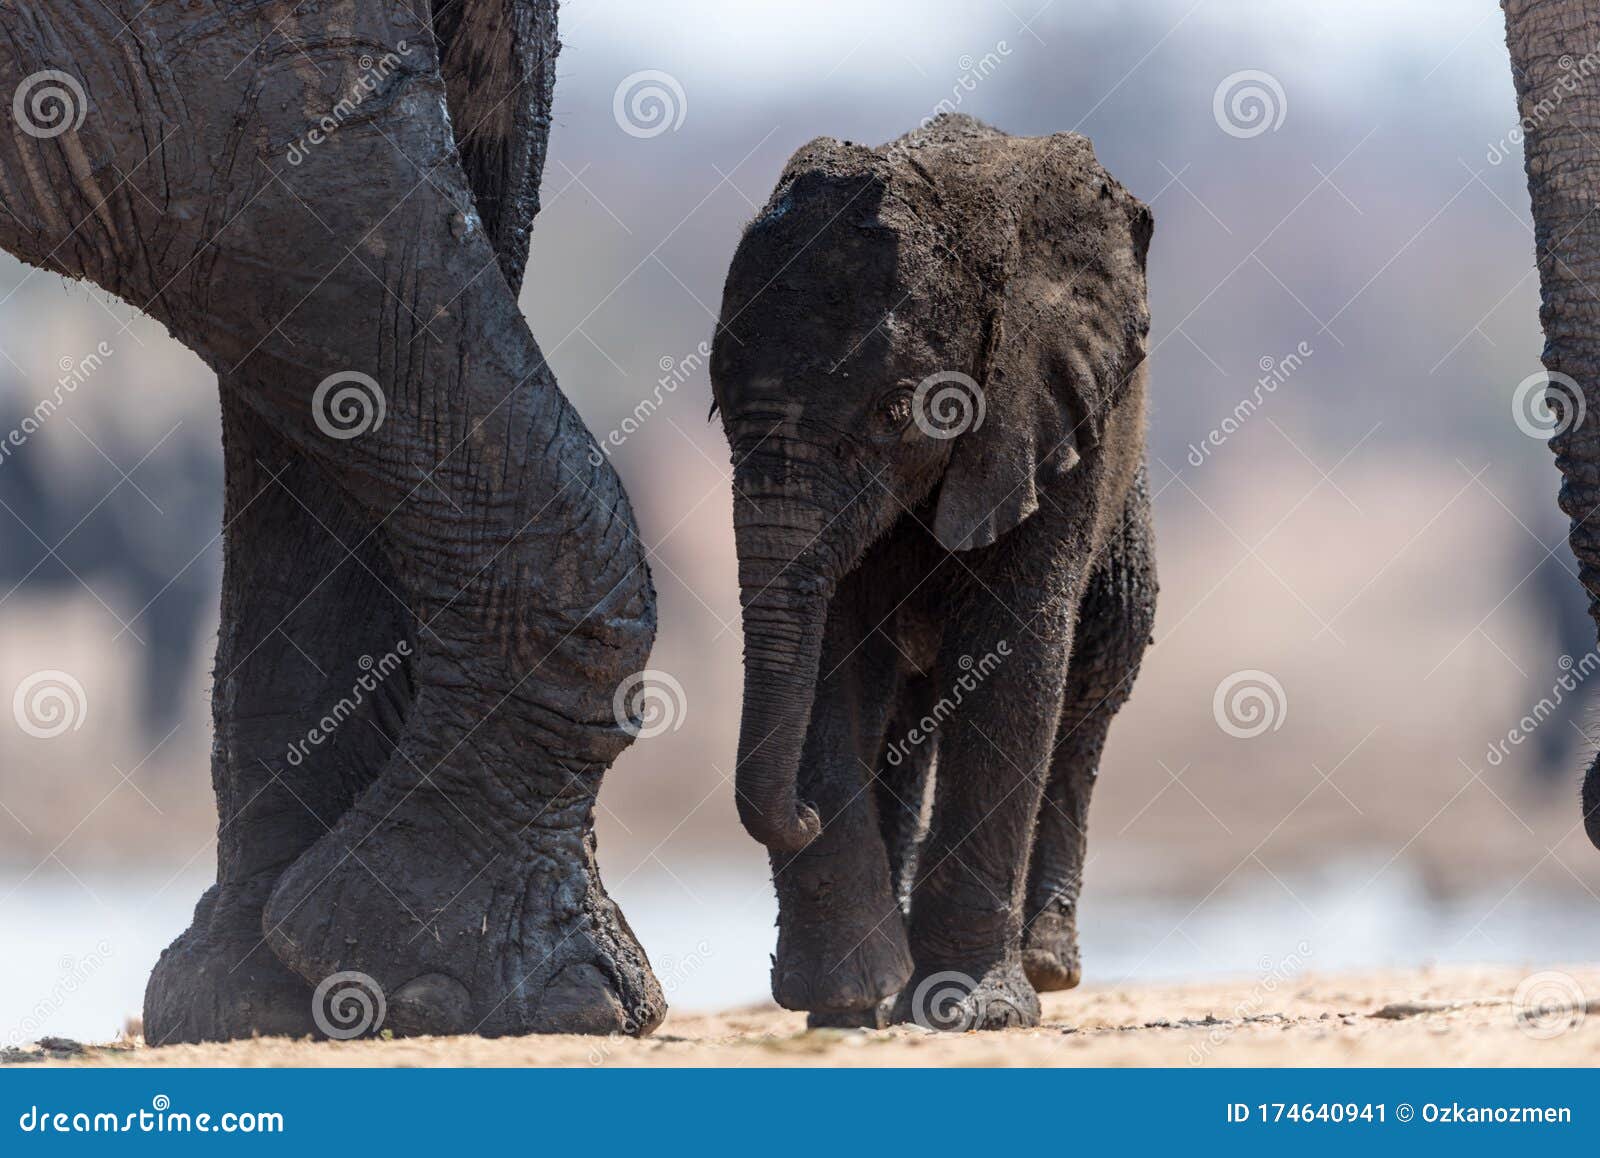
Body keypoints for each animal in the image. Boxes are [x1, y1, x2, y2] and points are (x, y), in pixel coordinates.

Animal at [709, 114, 1158, 1029]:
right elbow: (834, 654)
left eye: (894, 413)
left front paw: (972, 1011)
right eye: (716, 408)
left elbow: (1014, 653)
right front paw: (845, 998)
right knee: (900, 713)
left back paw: (1046, 967)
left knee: (1095, 682)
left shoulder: (1045, 417)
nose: (799, 814)